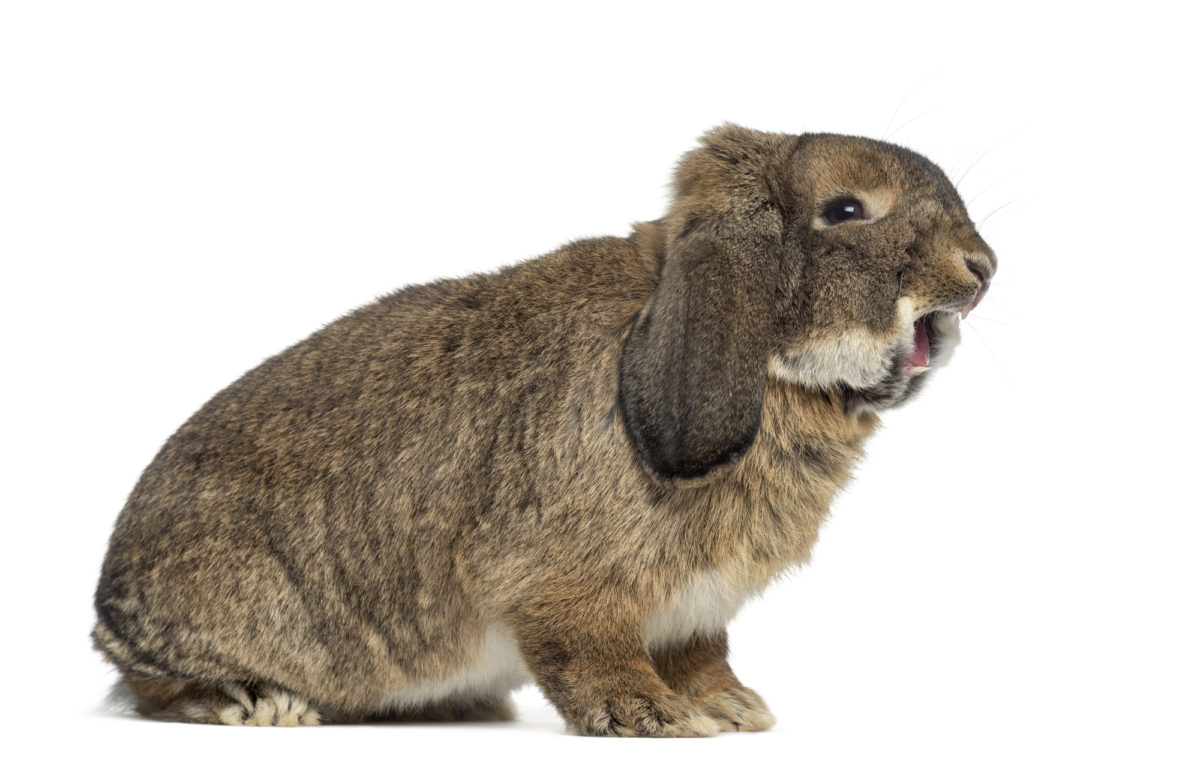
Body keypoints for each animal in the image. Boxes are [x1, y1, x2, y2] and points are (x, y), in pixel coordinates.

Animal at [93, 123, 996, 736]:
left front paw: (732, 707)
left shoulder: (693, 608)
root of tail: (107, 599)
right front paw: (647, 715)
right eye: (846, 209)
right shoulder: (564, 582)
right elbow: (588, 648)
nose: (984, 267)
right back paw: (251, 702)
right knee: (155, 688)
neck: (774, 375)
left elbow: (701, 654)